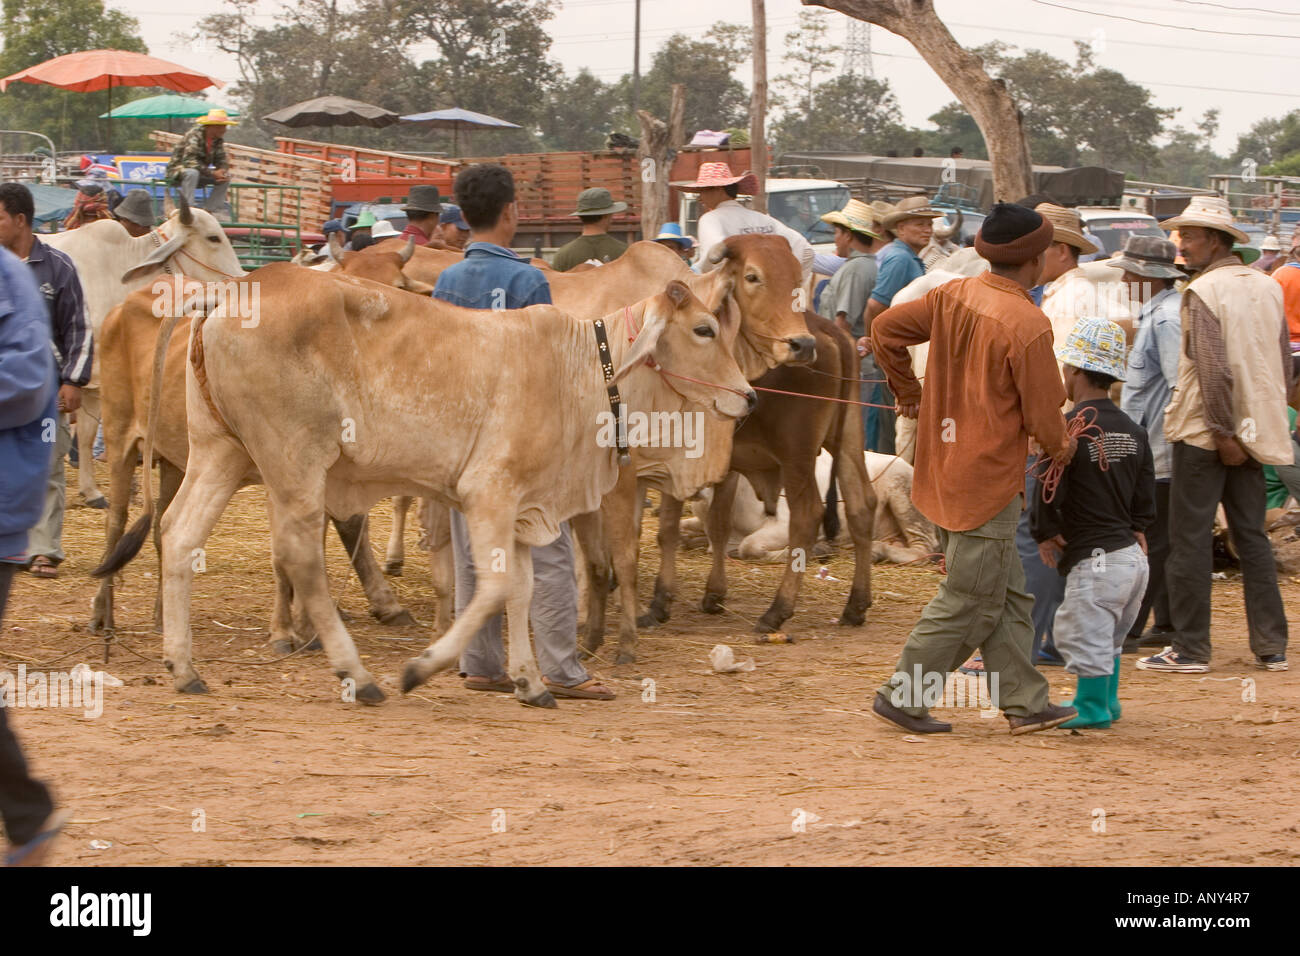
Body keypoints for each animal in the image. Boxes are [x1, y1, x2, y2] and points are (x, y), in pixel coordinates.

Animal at [89, 279, 414, 644]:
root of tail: (121, 307)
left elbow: (339, 527)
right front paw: (293, 627)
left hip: (175, 462)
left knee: (163, 527)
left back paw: (163, 615)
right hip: (119, 438)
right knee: (116, 523)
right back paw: (103, 614)